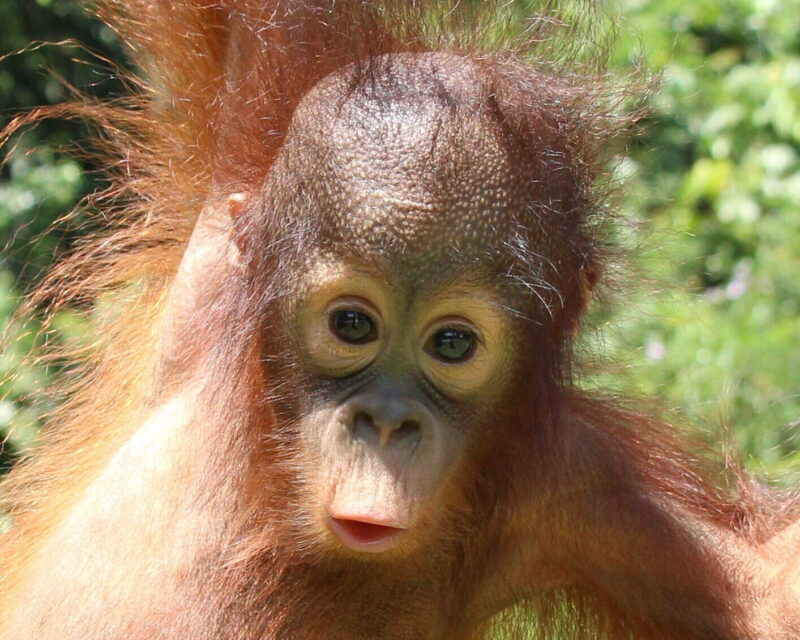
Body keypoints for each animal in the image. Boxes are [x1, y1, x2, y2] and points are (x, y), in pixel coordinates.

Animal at [0, 1, 798, 639]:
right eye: (352, 326)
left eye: (452, 343)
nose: (386, 422)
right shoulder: (221, 243)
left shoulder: (577, 488)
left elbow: (765, 595)